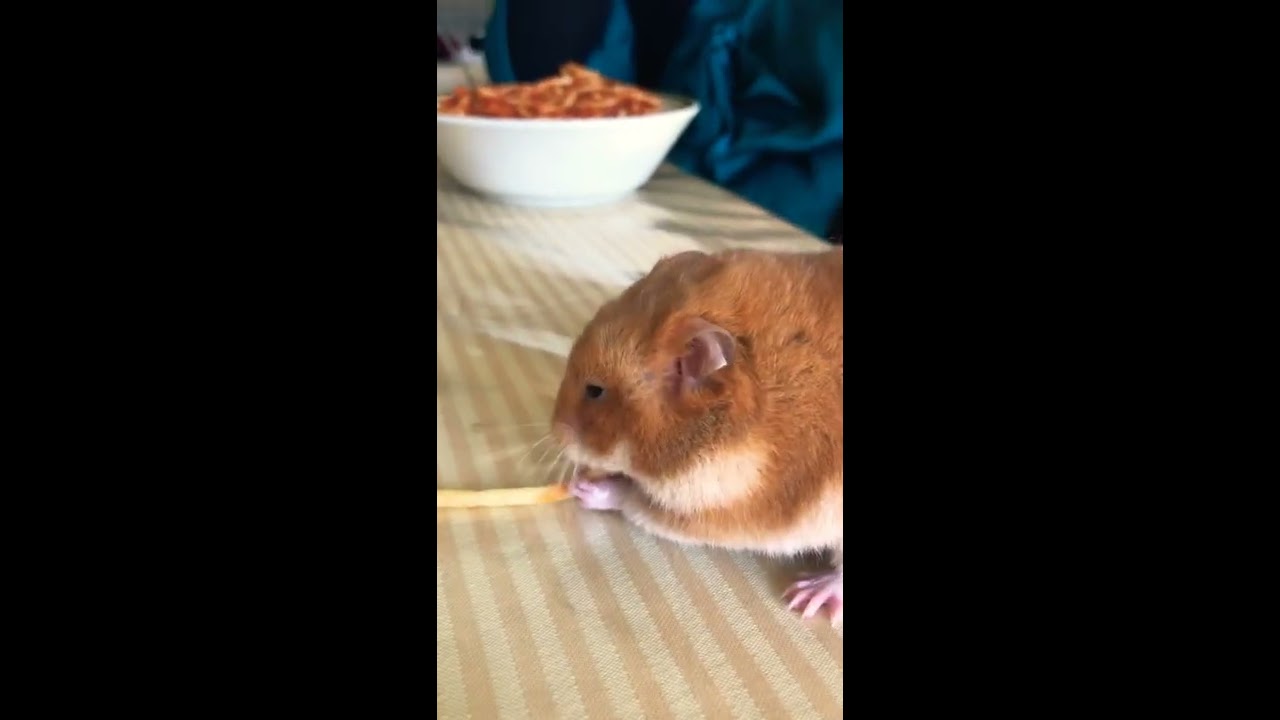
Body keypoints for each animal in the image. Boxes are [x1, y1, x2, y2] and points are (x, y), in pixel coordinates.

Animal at [550, 248, 844, 624]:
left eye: (594, 391)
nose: (553, 431)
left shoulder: (722, 511)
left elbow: (636, 501)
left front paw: (584, 487)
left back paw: (806, 597)